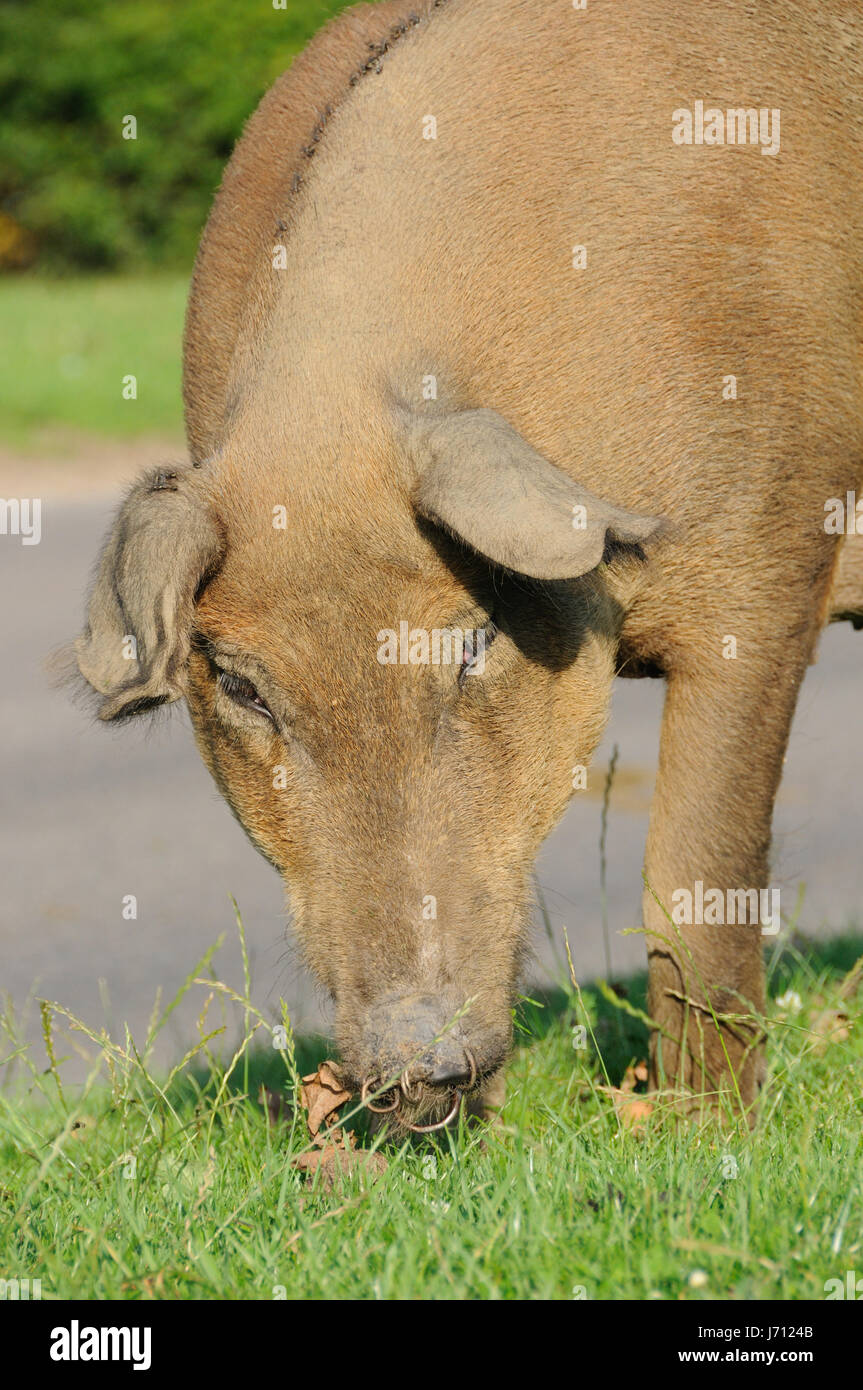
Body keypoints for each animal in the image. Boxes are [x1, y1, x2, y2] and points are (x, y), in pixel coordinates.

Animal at [72, 0, 863, 1129]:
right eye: (238, 684)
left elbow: (691, 878)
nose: (417, 1062)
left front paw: (703, 1131)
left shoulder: (770, 555)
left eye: (473, 641)